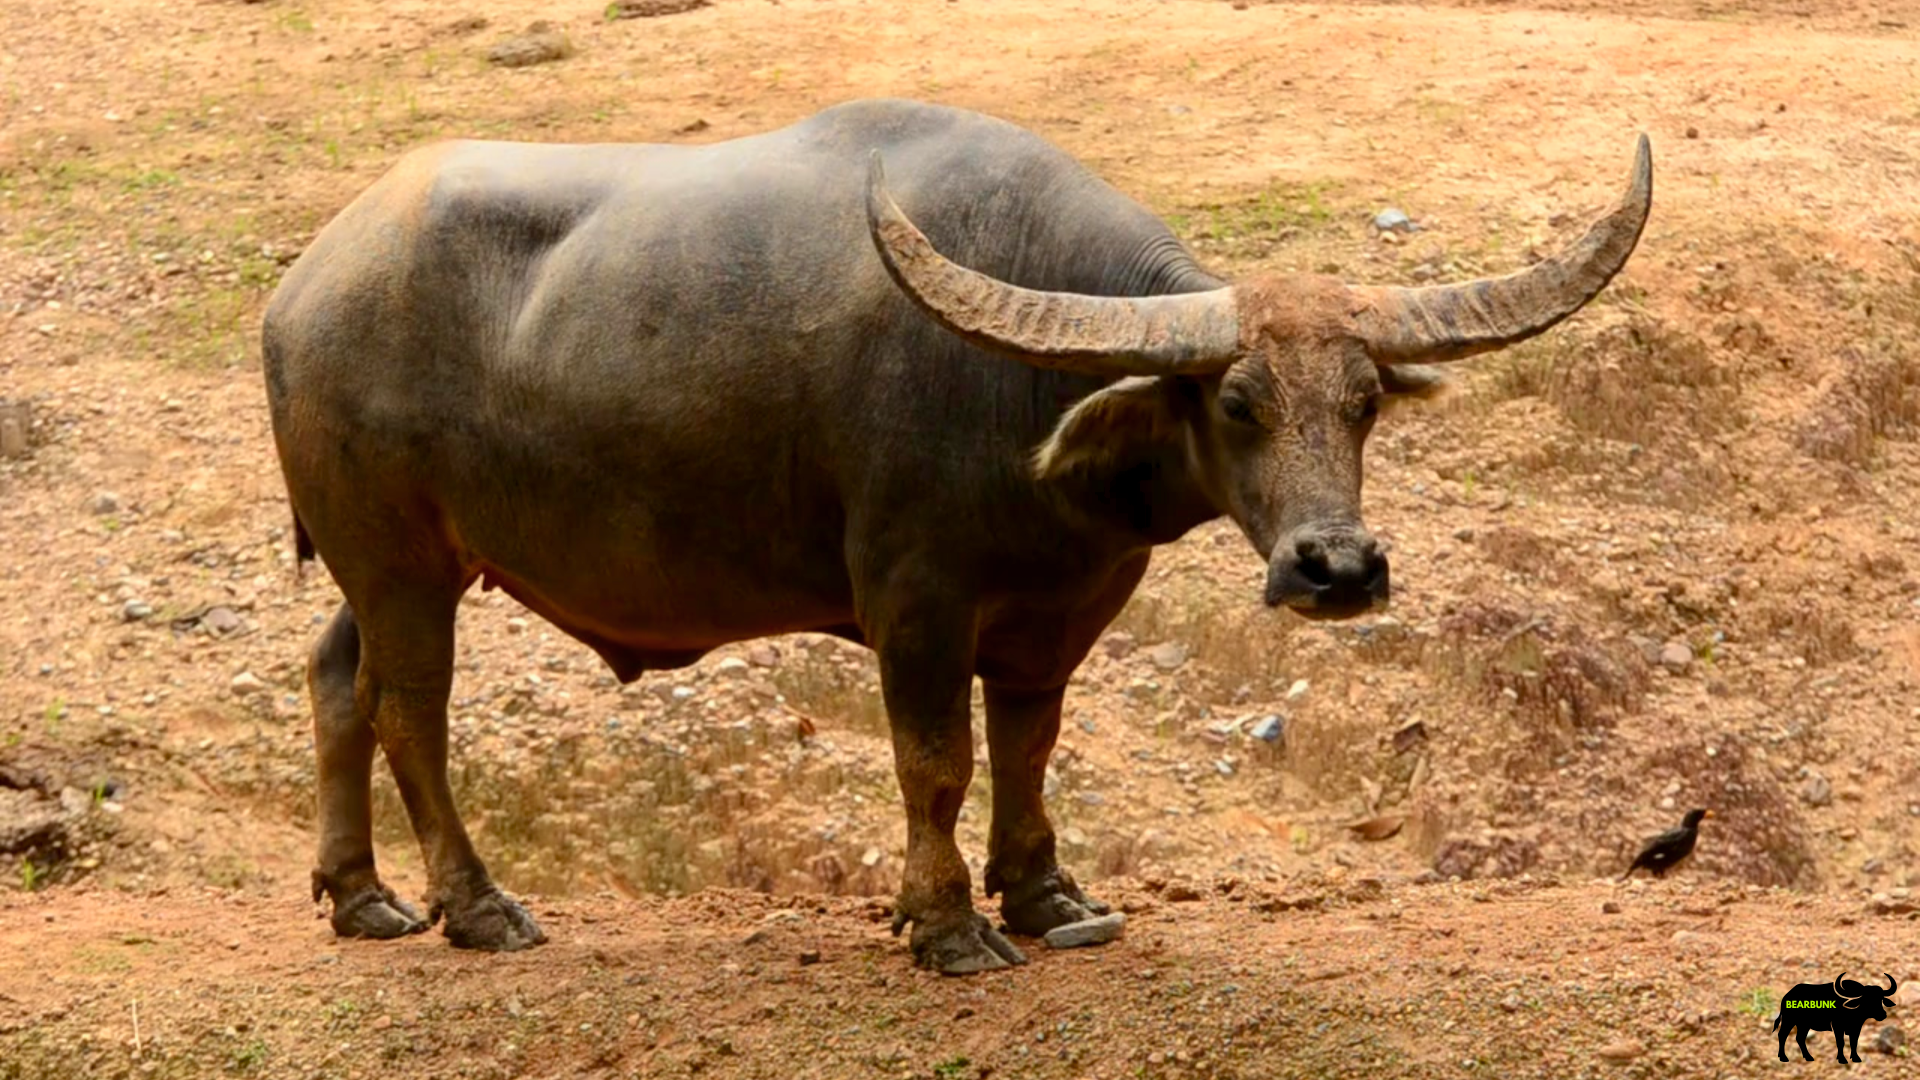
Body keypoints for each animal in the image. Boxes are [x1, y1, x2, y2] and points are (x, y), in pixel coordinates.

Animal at [263, 98, 1653, 973]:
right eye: (1238, 403)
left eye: (1363, 403)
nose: (1339, 570)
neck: (1028, 401)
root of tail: (302, 290)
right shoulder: (914, 608)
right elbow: (935, 761)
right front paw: (944, 928)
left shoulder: (1057, 615)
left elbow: (1029, 749)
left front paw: (1046, 901)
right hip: (401, 561)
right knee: (408, 708)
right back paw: (477, 906)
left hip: (391, 562)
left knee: (335, 677)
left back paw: (362, 896)